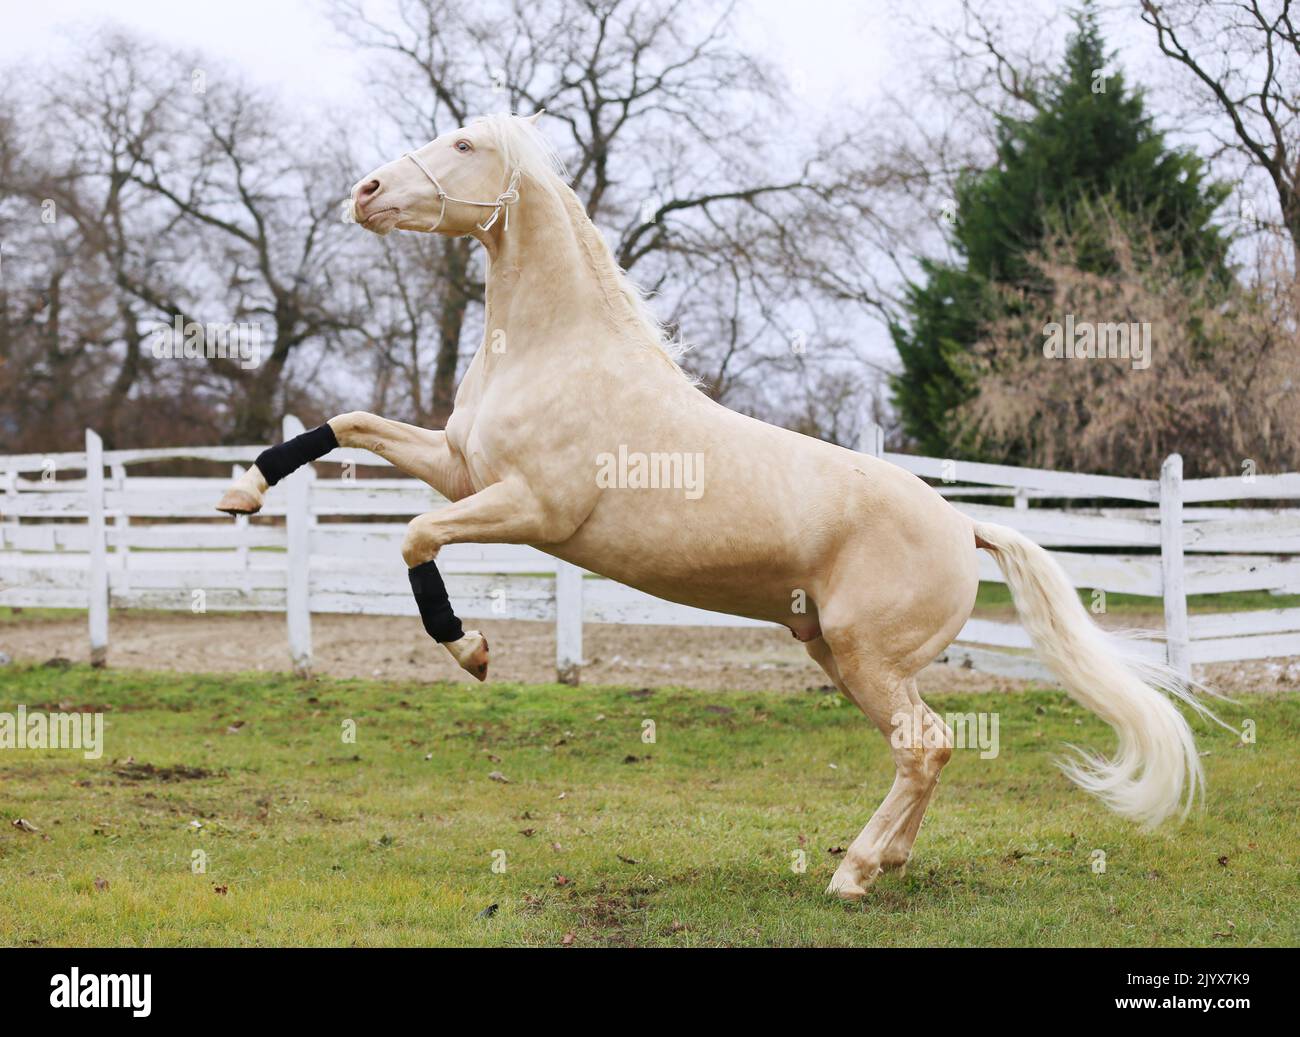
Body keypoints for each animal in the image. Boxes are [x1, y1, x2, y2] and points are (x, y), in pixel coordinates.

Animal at [217, 113, 1213, 899]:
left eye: (464, 145)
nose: (367, 193)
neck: (556, 353)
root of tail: (965, 523)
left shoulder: (530, 507)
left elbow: (415, 535)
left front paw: (473, 650)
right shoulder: (462, 468)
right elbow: (348, 422)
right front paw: (244, 488)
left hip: (866, 654)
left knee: (925, 745)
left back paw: (852, 873)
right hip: (843, 655)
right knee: (929, 747)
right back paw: (886, 861)